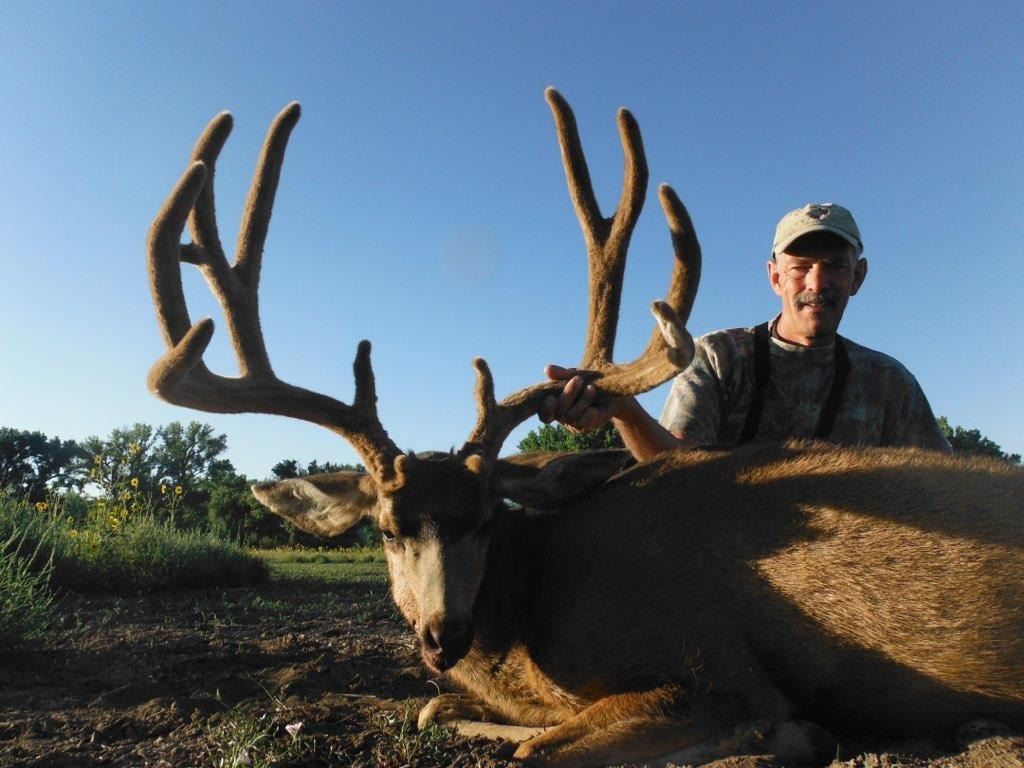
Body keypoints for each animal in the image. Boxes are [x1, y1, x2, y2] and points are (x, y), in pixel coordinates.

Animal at [146, 90, 1024, 767]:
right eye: (388, 529)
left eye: (487, 520)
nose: (442, 635)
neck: (533, 611)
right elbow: (435, 711)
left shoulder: (714, 667)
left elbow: (536, 745)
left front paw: (788, 735)